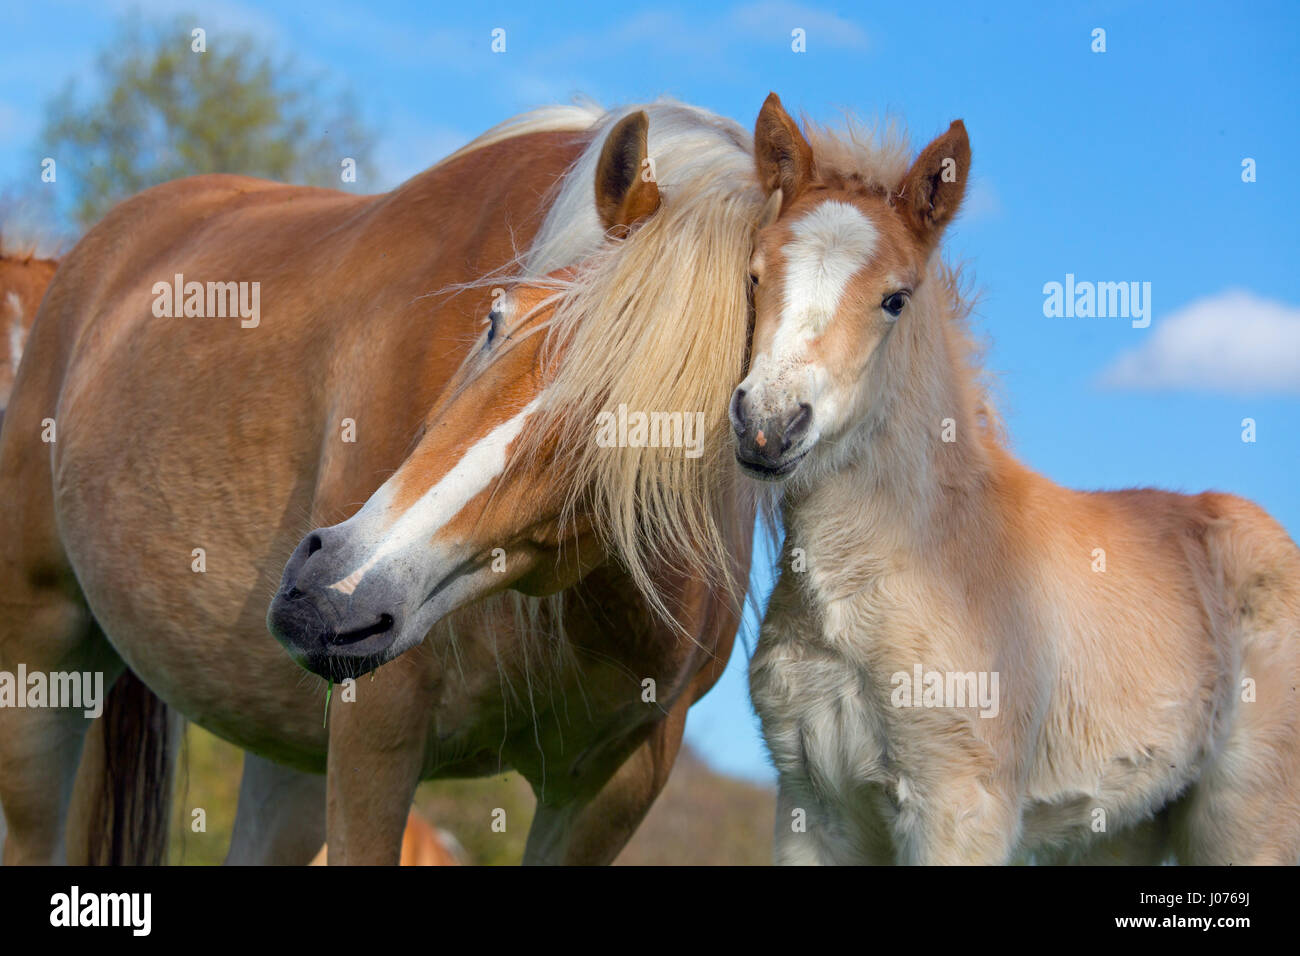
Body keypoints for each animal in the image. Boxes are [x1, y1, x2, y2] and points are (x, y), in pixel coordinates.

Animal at [731, 92, 1300, 865]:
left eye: (895, 299)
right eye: (755, 275)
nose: (768, 425)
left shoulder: (959, 807)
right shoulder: (811, 808)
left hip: (1248, 818)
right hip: (1123, 827)